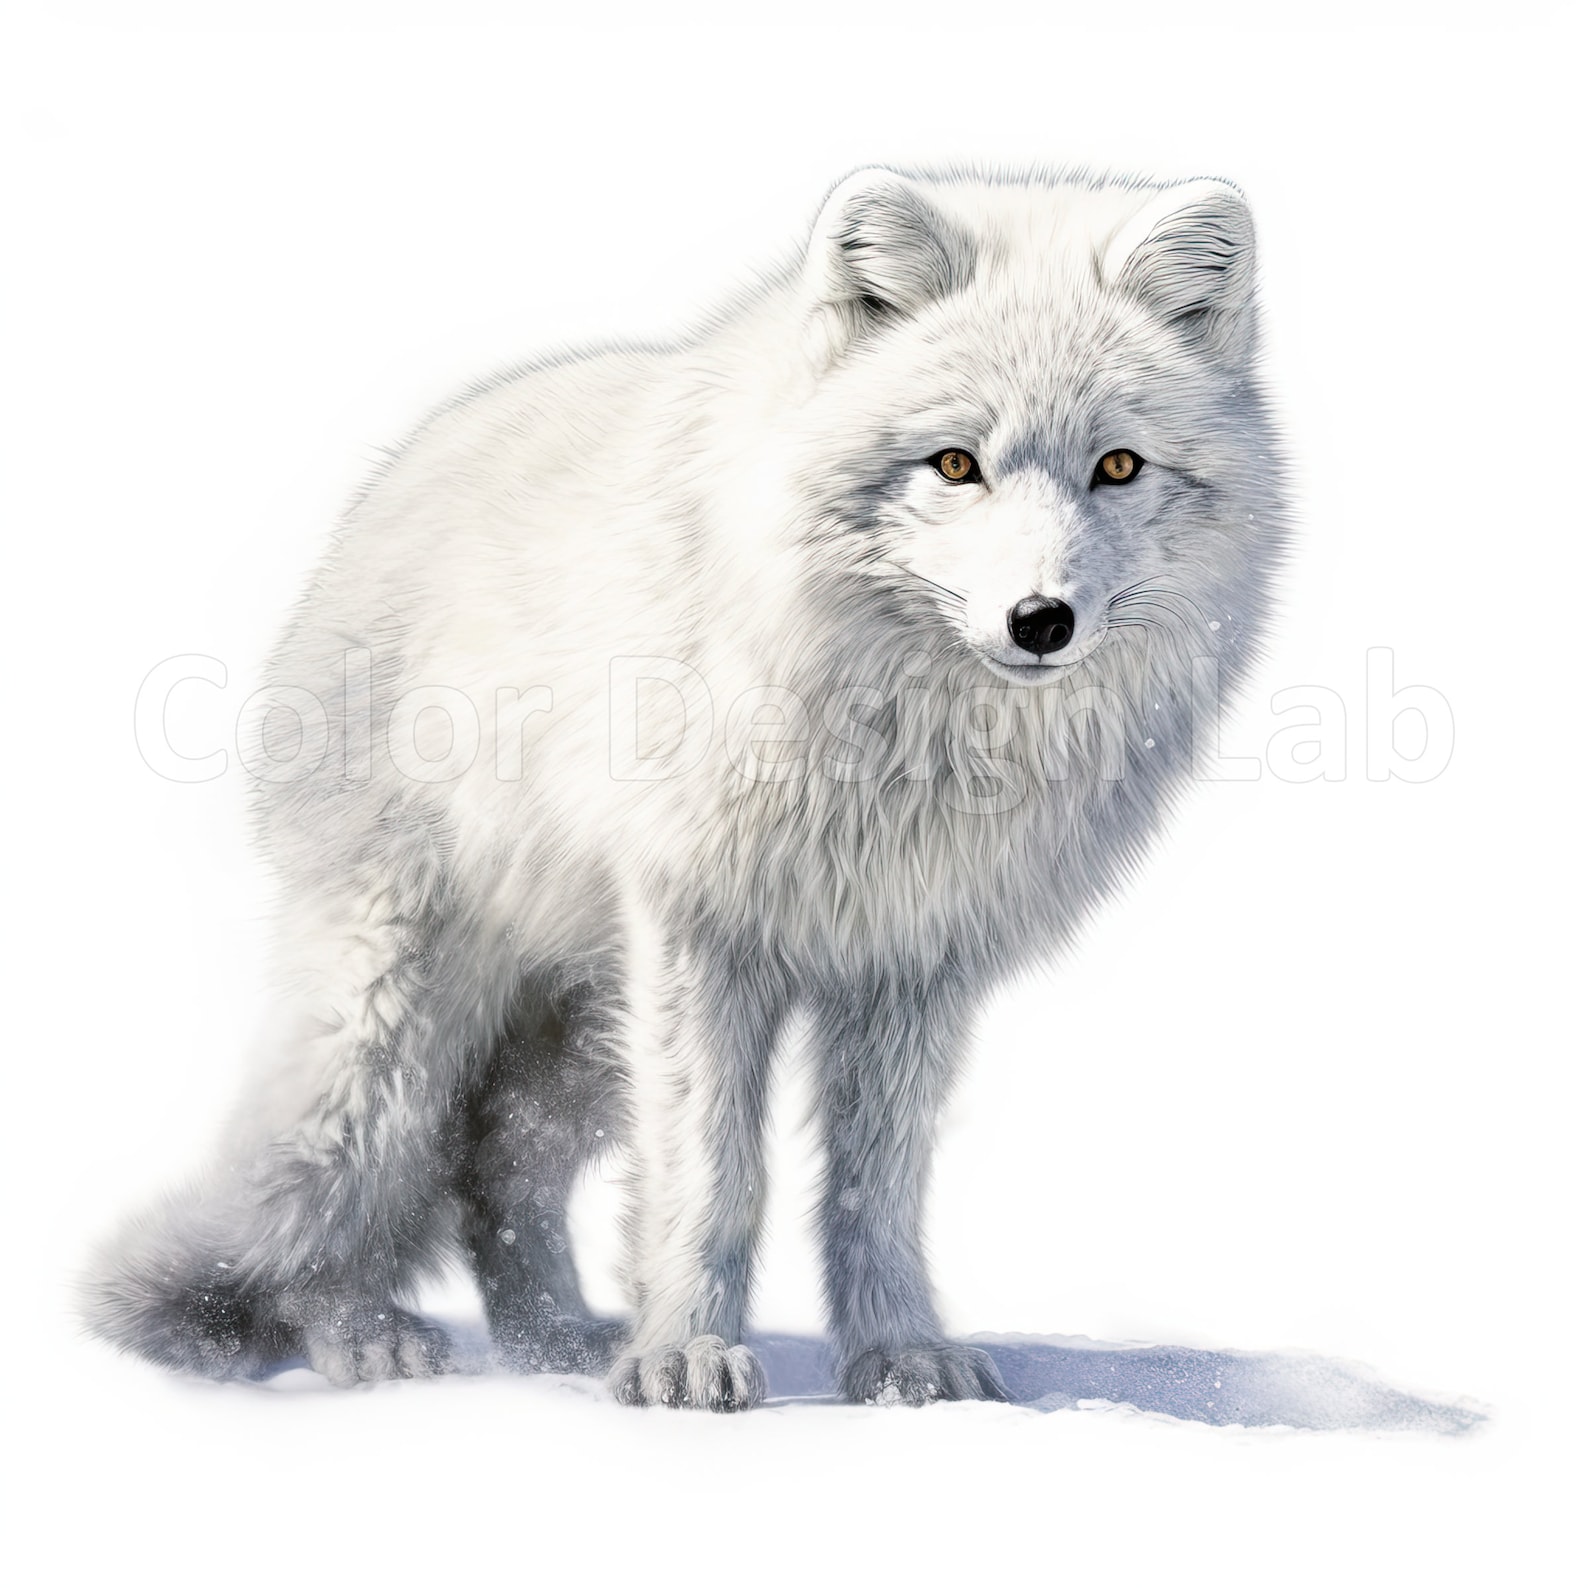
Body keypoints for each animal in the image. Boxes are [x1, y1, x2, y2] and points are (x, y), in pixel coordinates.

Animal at [85, 166, 1285, 1409]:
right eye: (955, 464)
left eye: (1118, 466)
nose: (1040, 619)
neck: (904, 748)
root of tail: (393, 481)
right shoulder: (704, 932)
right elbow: (713, 1170)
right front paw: (685, 1358)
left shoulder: (911, 964)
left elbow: (876, 1189)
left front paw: (899, 1356)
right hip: (403, 1013)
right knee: (347, 1184)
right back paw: (364, 1336)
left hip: (585, 1038)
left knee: (491, 1159)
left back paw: (556, 1342)